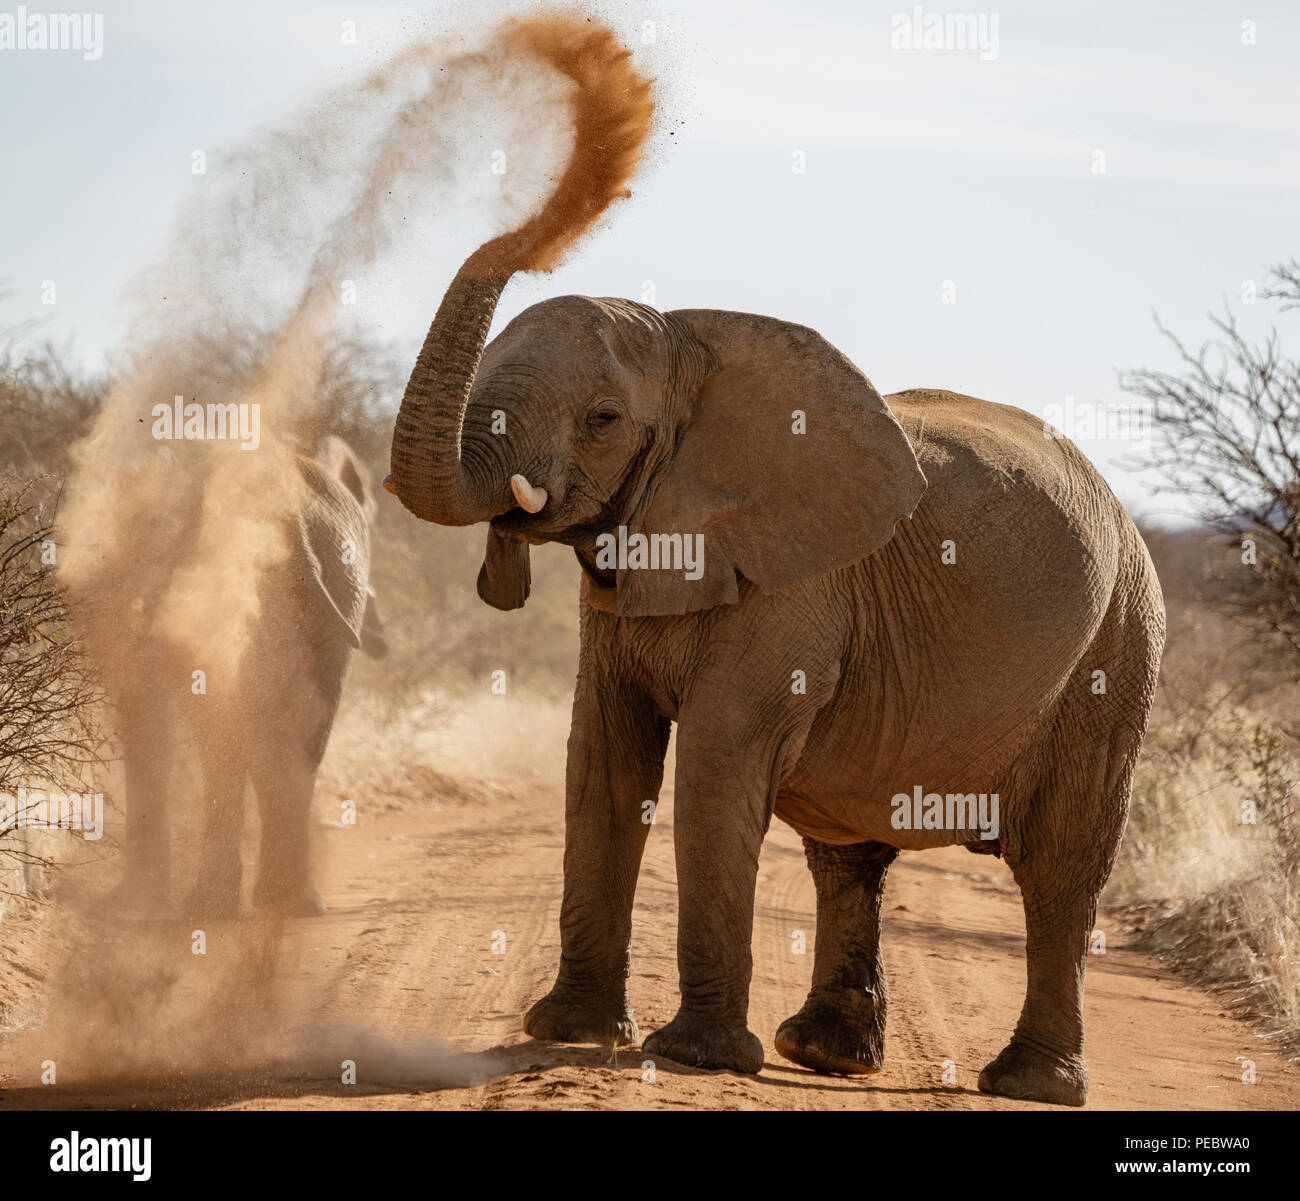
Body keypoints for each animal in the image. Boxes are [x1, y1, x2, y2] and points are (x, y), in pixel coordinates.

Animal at [115, 435, 387, 918]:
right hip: (339, 577)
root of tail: (292, 516)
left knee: (228, 732)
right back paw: (291, 904)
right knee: (302, 731)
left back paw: (213, 905)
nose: (383, 642)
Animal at [386, 235, 1165, 1107]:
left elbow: (715, 762)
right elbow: (604, 760)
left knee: (1062, 862)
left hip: (1117, 646)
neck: (688, 343)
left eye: (603, 420)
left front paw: (693, 1056)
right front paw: (571, 1032)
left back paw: (1028, 1082)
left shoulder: (794, 578)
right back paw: (825, 1053)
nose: (535, 238)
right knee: (847, 853)